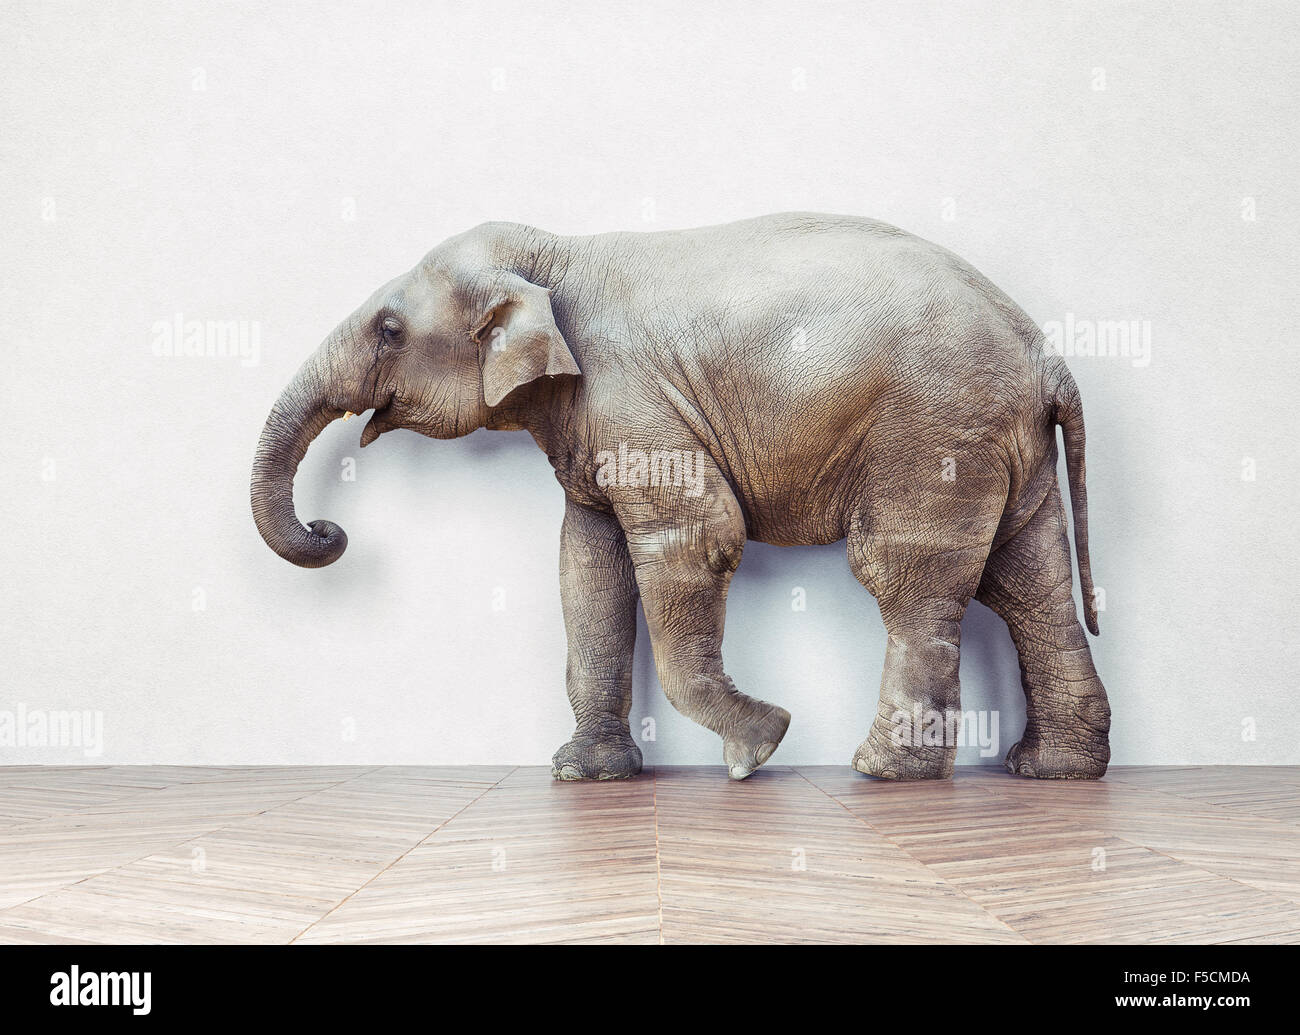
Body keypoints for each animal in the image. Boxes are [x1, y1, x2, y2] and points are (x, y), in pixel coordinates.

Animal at [251, 213, 1111, 782]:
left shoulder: (635, 403)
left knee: (908, 577)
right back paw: (1053, 770)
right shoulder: (596, 423)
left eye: (389, 331)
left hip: (934, 434)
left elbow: (697, 540)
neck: (556, 253)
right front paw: (584, 775)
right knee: (1028, 583)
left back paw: (883, 772)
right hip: (1003, 445)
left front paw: (760, 746)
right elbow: (587, 572)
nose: (330, 529)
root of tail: (1050, 359)